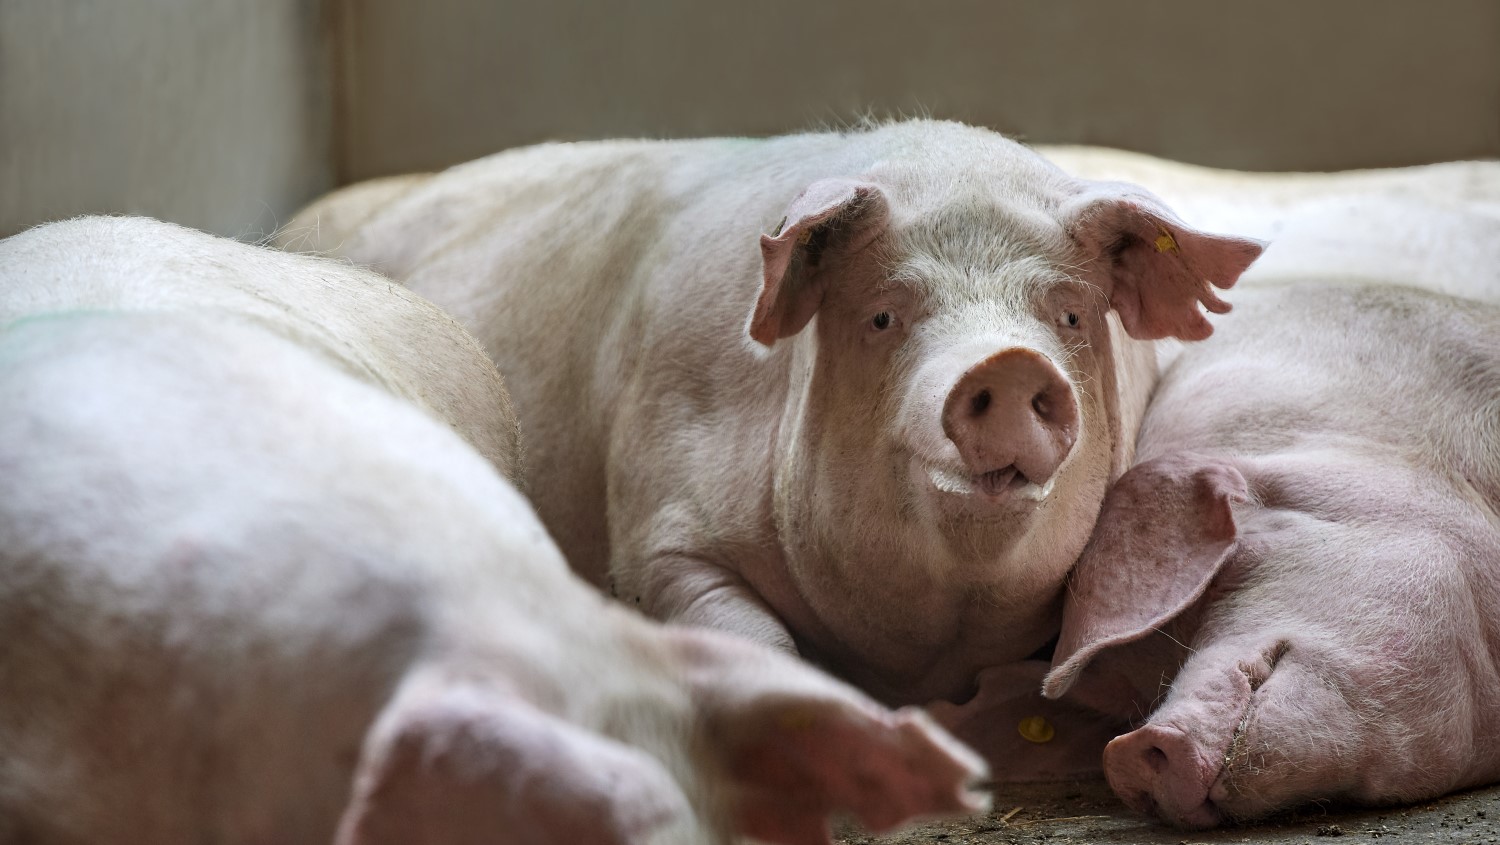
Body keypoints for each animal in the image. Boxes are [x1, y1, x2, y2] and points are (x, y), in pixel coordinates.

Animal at [278, 119, 1262, 705]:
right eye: (883, 314)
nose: (1008, 363)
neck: (923, 651)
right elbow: (746, 631)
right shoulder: (656, 531)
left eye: (1069, 315)